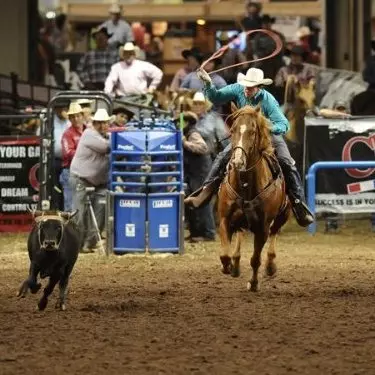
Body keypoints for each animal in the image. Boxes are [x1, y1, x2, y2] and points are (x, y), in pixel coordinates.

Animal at [219, 104, 292, 292]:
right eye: (232, 129)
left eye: (252, 132)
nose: (237, 162)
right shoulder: (224, 219)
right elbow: (224, 254)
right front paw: (228, 266)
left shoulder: (262, 227)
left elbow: (255, 259)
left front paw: (253, 283)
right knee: (240, 234)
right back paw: (236, 264)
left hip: (283, 215)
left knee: (274, 235)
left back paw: (270, 266)